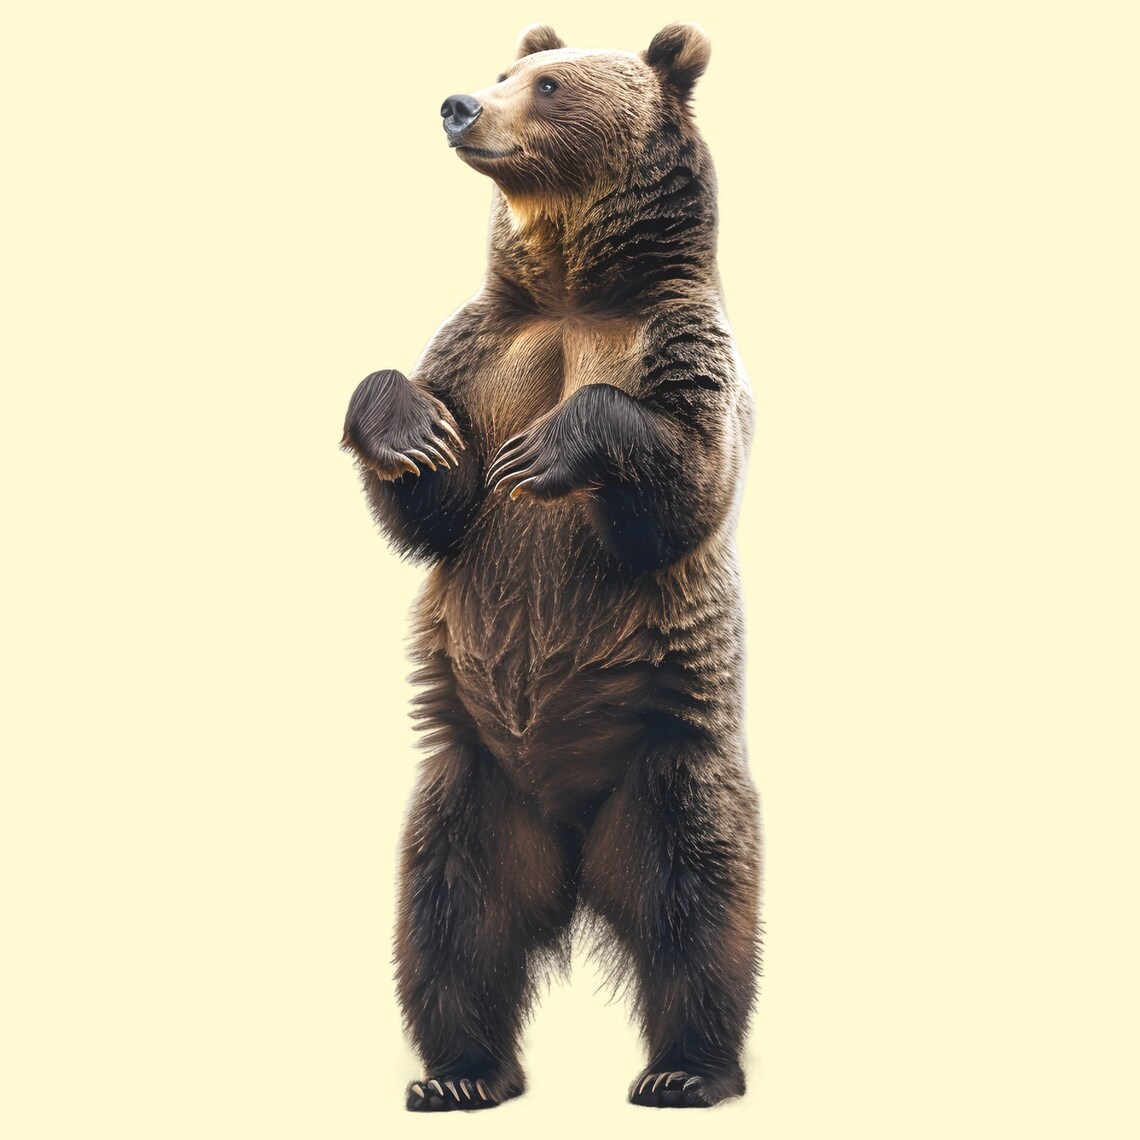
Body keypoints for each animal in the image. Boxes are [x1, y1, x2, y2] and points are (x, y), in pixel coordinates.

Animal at [341, 22, 761, 1111]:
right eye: (504, 70)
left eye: (552, 84)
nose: (458, 106)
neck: (576, 291)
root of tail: (573, 855)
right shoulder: (486, 348)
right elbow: (434, 495)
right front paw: (409, 432)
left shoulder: (677, 347)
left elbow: (684, 484)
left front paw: (547, 453)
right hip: (474, 789)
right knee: (448, 919)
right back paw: (456, 1074)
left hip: (662, 768)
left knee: (701, 905)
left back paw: (688, 1069)